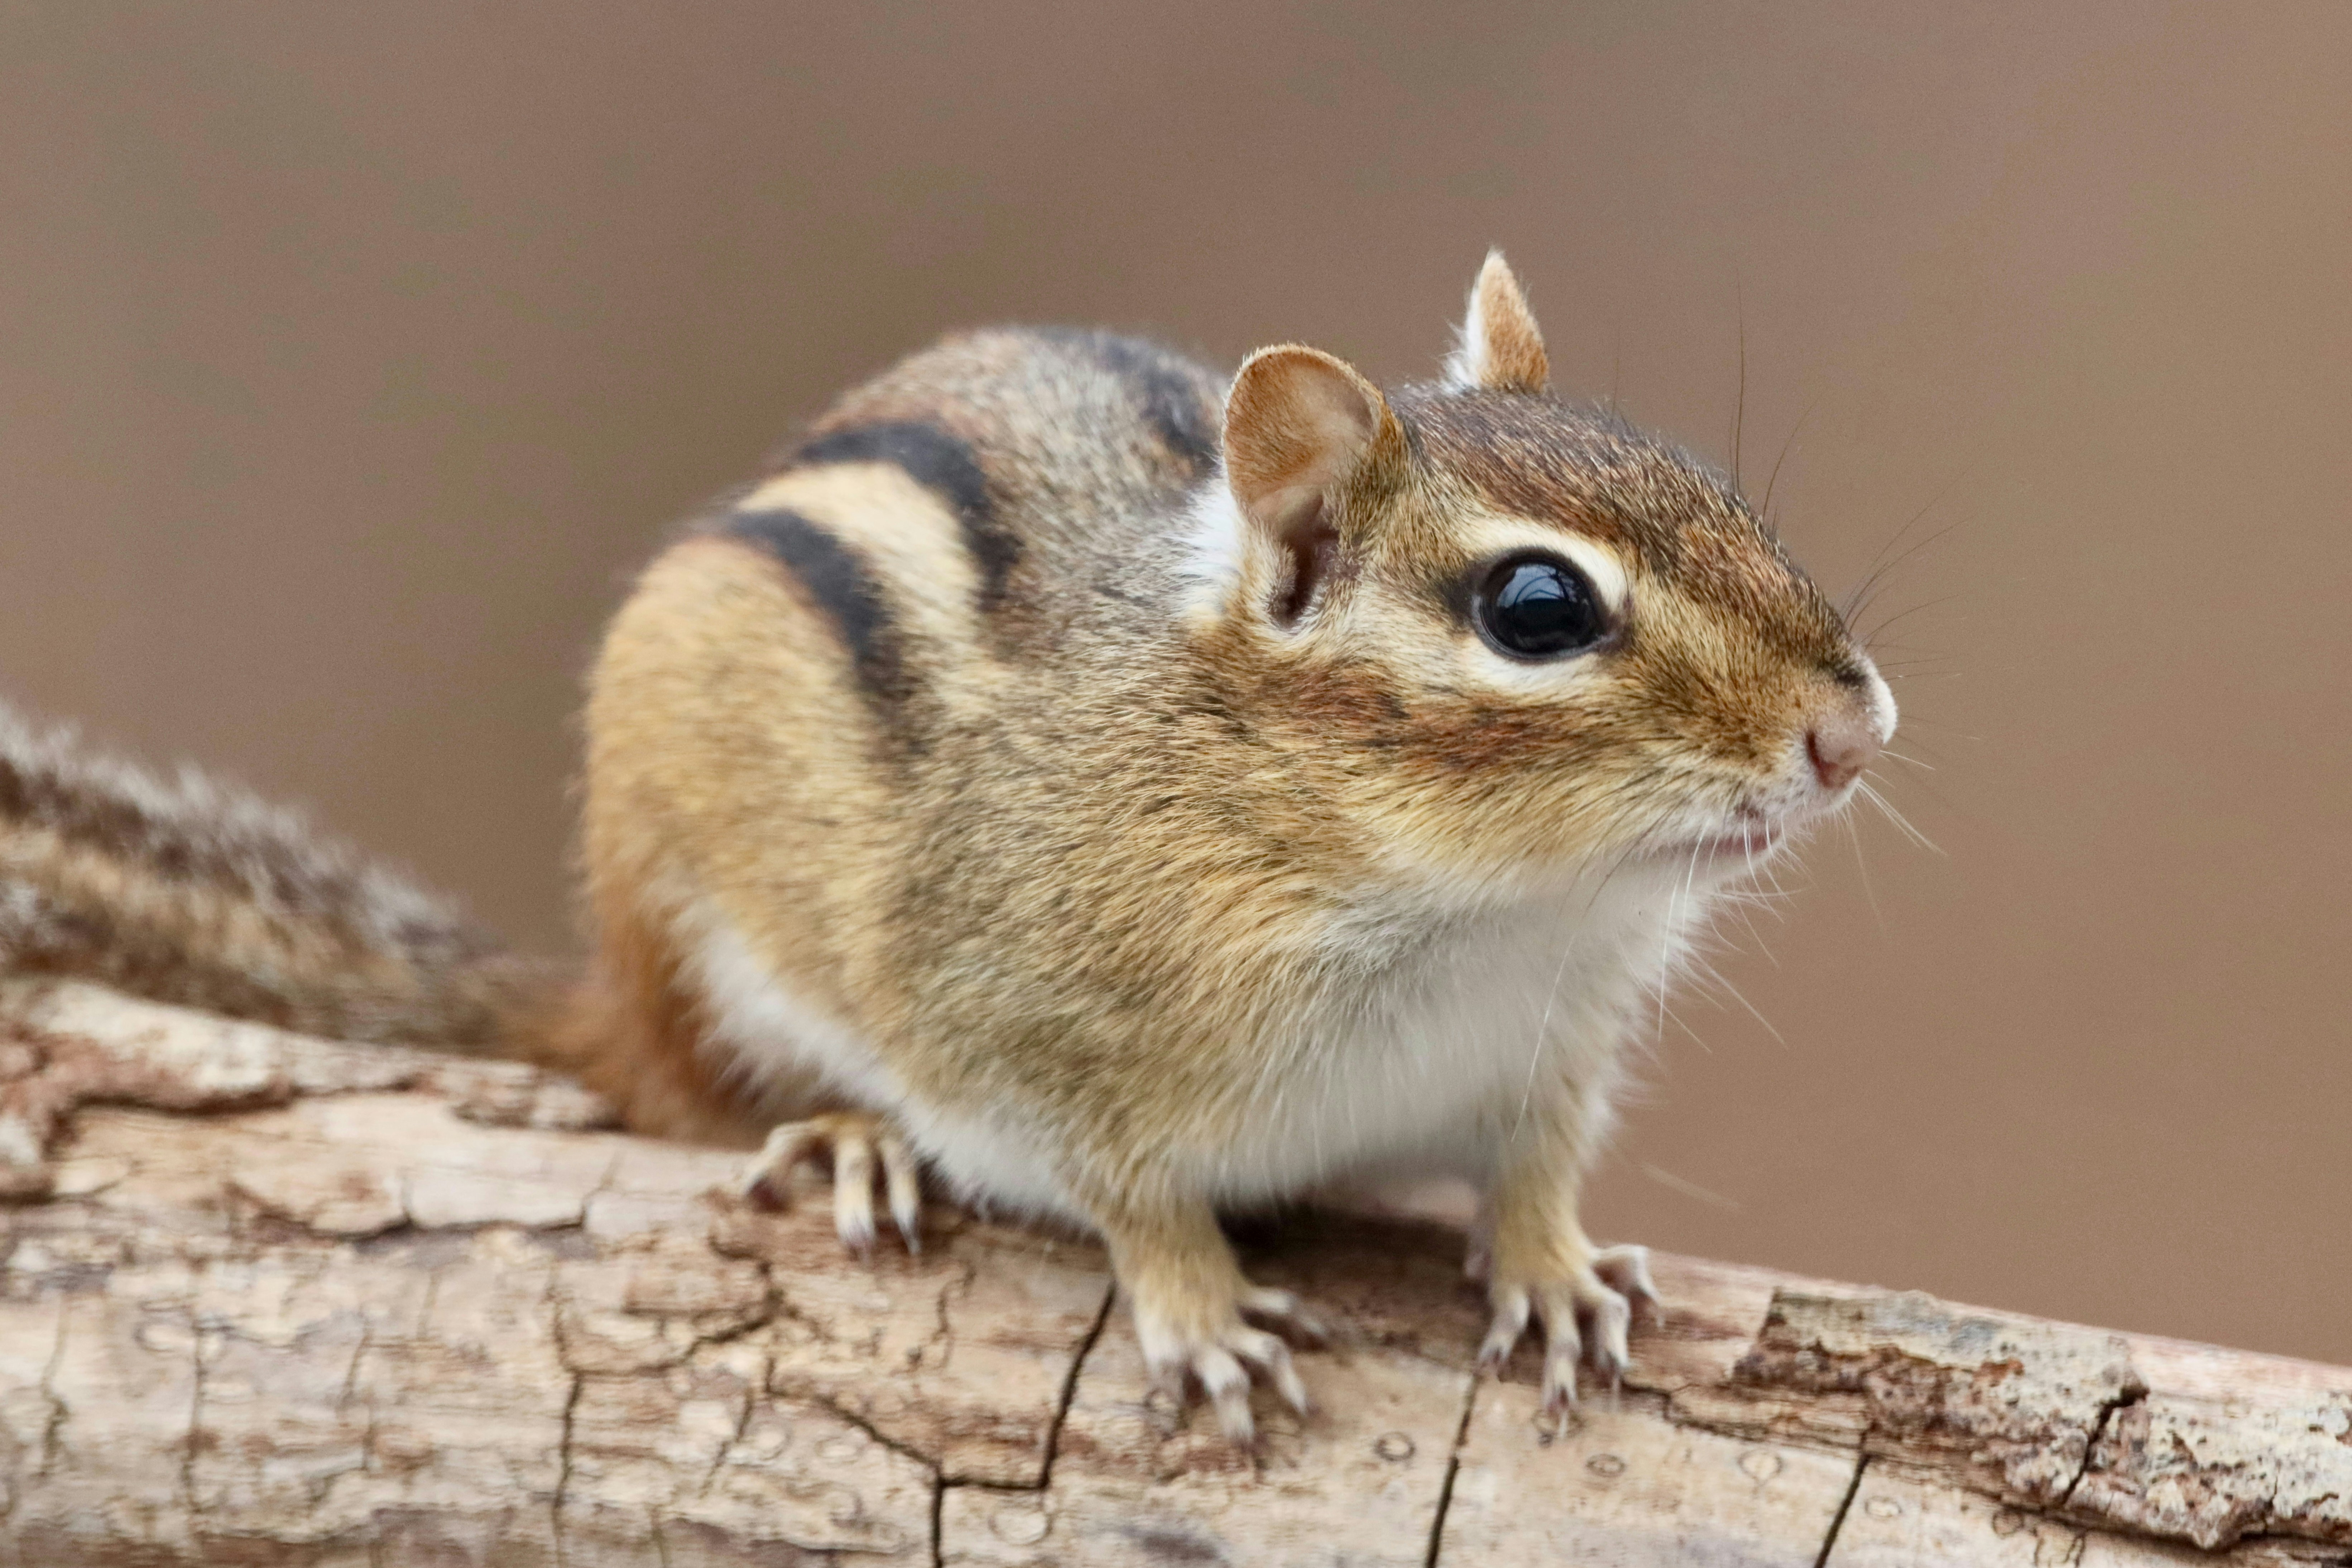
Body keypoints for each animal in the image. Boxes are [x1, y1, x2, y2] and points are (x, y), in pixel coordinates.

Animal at [0, 253, 1893, 1439]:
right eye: (1536, 608)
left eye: (1708, 482)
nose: (1852, 731)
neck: (1486, 904)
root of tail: (605, 983)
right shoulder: (1022, 1016)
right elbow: (1126, 1185)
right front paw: (1196, 1310)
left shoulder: (1547, 1051)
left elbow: (1531, 1169)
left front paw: (1556, 1273)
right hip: (699, 940)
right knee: (689, 1093)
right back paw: (844, 1137)